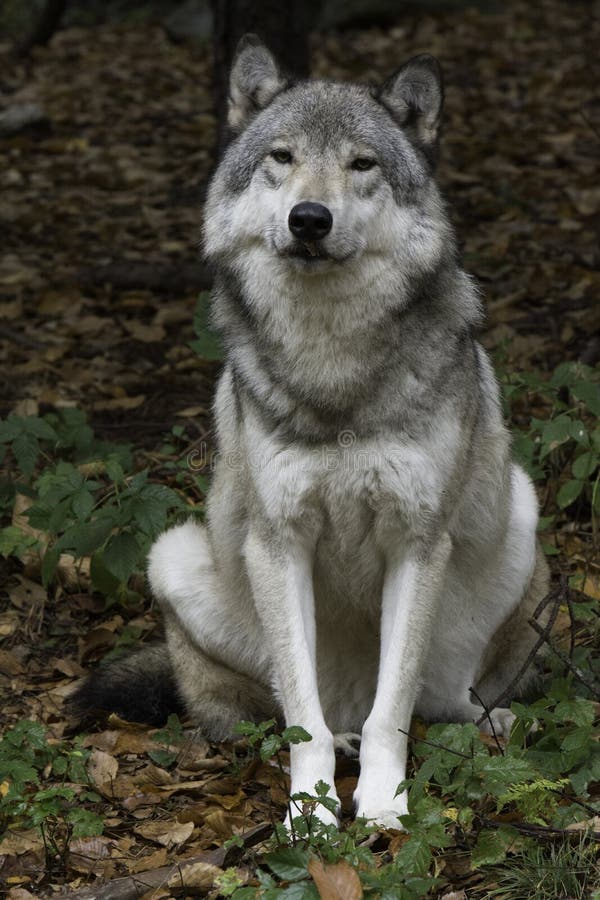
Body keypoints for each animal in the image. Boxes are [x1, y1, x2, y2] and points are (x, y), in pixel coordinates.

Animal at [72, 35, 549, 829]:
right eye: (283, 157)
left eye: (362, 164)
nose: (309, 219)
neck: (334, 366)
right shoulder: (279, 542)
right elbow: (304, 720)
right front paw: (311, 816)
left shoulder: (417, 540)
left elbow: (395, 712)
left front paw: (384, 809)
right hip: (176, 557)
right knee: (266, 713)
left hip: (520, 517)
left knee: (440, 703)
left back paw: (491, 723)